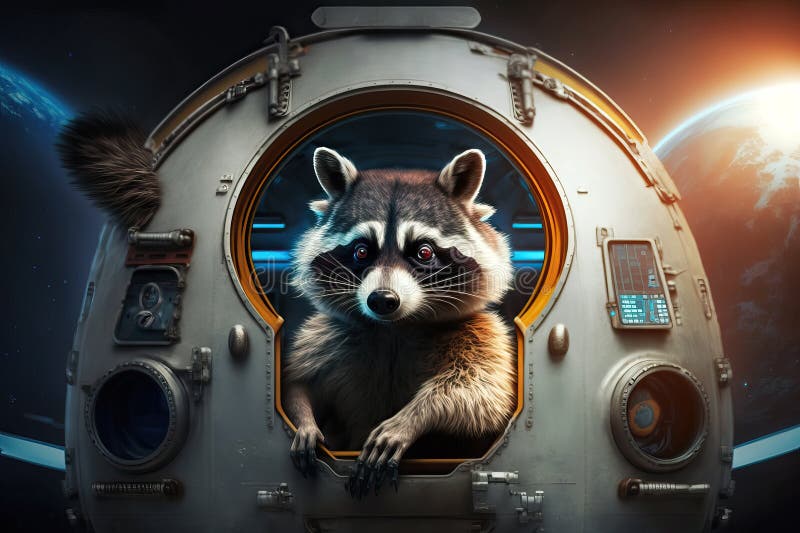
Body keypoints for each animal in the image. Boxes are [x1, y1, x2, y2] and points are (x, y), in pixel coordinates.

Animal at [283, 147, 516, 498]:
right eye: (361, 251)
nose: (382, 299)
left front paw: (412, 417)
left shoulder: (480, 335)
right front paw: (304, 420)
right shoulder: (326, 336)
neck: (394, 328)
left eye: (424, 252)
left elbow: (479, 393)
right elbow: (299, 383)